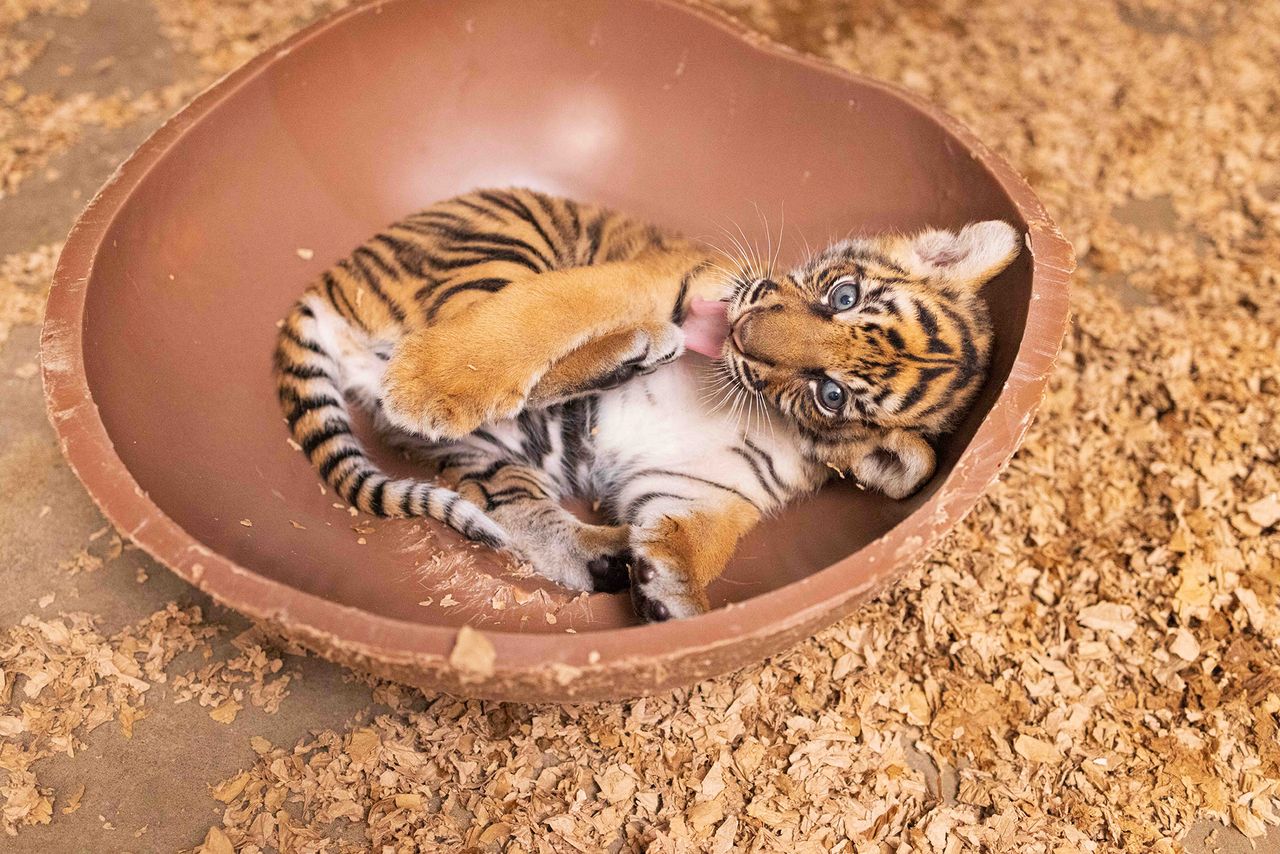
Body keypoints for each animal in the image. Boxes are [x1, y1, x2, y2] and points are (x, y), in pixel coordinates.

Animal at [274, 188, 1019, 621]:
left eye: (830, 394)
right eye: (843, 295)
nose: (741, 333)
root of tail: (329, 285)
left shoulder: (701, 486)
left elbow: (696, 541)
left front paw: (673, 597)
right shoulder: (653, 279)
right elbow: (547, 309)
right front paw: (434, 380)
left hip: (485, 456)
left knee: (515, 505)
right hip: (500, 245)